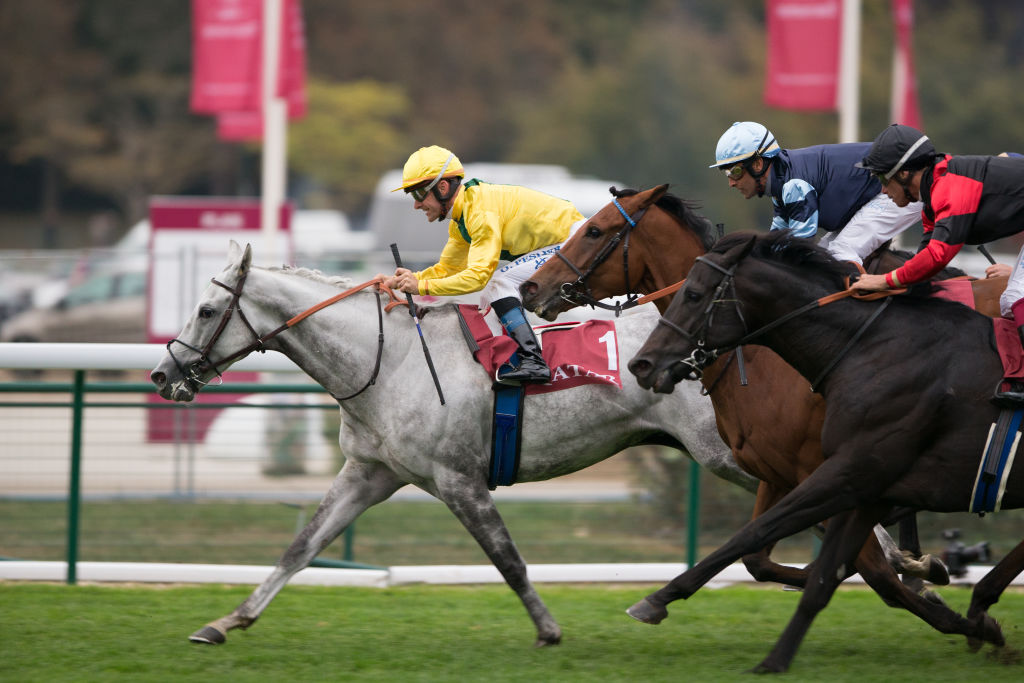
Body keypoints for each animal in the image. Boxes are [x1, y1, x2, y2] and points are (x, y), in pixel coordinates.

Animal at [149, 240, 757, 647]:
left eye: (205, 310)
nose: (162, 374)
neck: (389, 359)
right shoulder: (369, 472)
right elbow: (301, 547)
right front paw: (226, 621)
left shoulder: (457, 479)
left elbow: (507, 559)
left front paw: (548, 629)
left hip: (723, 451)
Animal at [626, 230, 1019, 672]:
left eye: (693, 294)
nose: (641, 363)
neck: (873, 348)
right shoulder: (838, 480)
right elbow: (800, 565)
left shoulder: (845, 472)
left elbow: (761, 536)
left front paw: (658, 598)